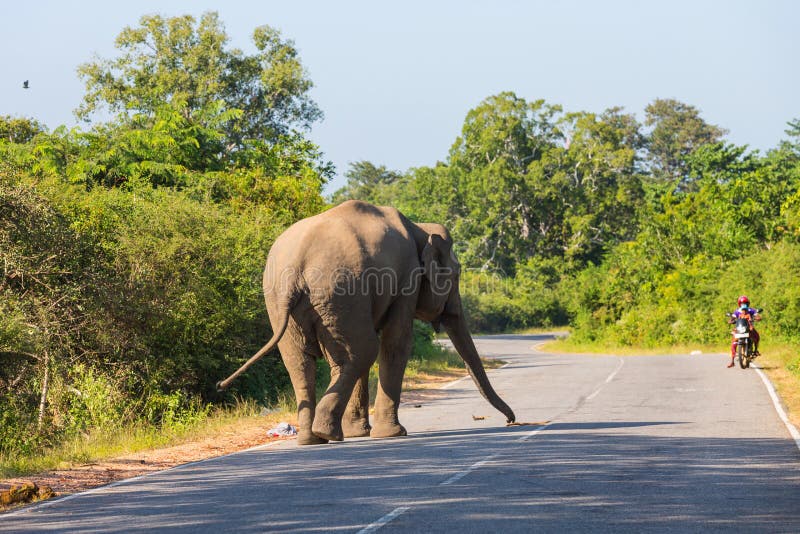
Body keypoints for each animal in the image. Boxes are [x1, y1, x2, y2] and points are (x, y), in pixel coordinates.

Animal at [218, 200, 515, 445]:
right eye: (456, 276)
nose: (511, 421)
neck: (420, 228)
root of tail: (296, 265)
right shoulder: (406, 279)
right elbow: (397, 342)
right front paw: (393, 434)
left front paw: (361, 434)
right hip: (339, 292)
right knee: (362, 350)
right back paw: (326, 433)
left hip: (286, 303)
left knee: (302, 362)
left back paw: (312, 439)